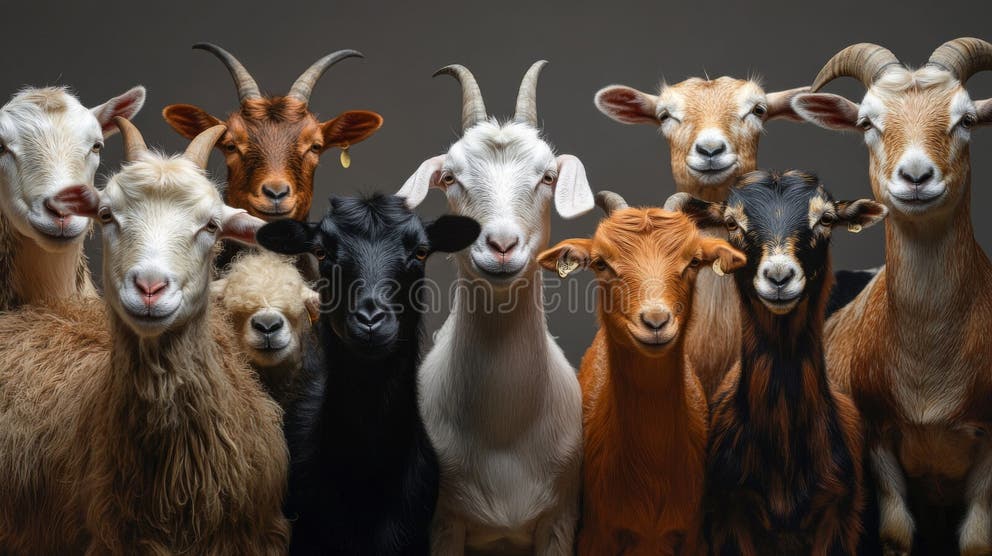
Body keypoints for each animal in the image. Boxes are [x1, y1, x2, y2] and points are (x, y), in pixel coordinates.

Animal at [397, 62, 593, 554]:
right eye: (450, 177)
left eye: (548, 177)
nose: (501, 246)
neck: (504, 431)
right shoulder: (443, 523)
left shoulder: (561, 519)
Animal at [792, 38, 992, 555]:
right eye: (867, 122)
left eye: (966, 119)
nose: (916, 176)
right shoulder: (878, 436)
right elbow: (896, 532)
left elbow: (977, 539)